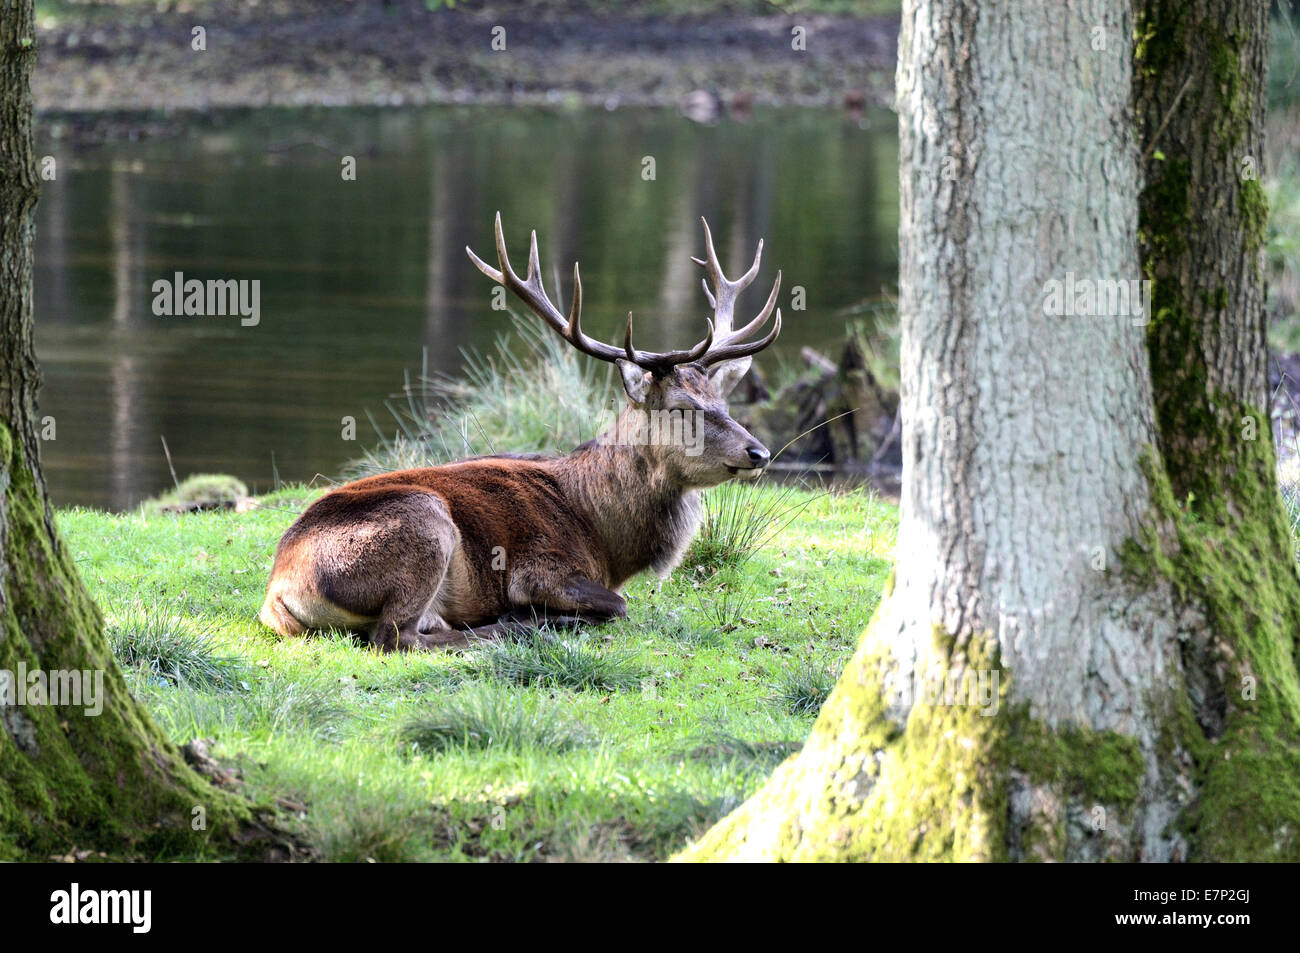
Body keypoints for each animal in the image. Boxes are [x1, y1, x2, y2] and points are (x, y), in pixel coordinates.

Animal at [258, 213, 784, 651]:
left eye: (723, 402)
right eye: (681, 408)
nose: (759, 453)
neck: (604, 536)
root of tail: (278, 592)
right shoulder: (538, 569)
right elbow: (620, 604)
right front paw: (542, 615)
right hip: (425, 522)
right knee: (395, 635)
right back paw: (516, 625)